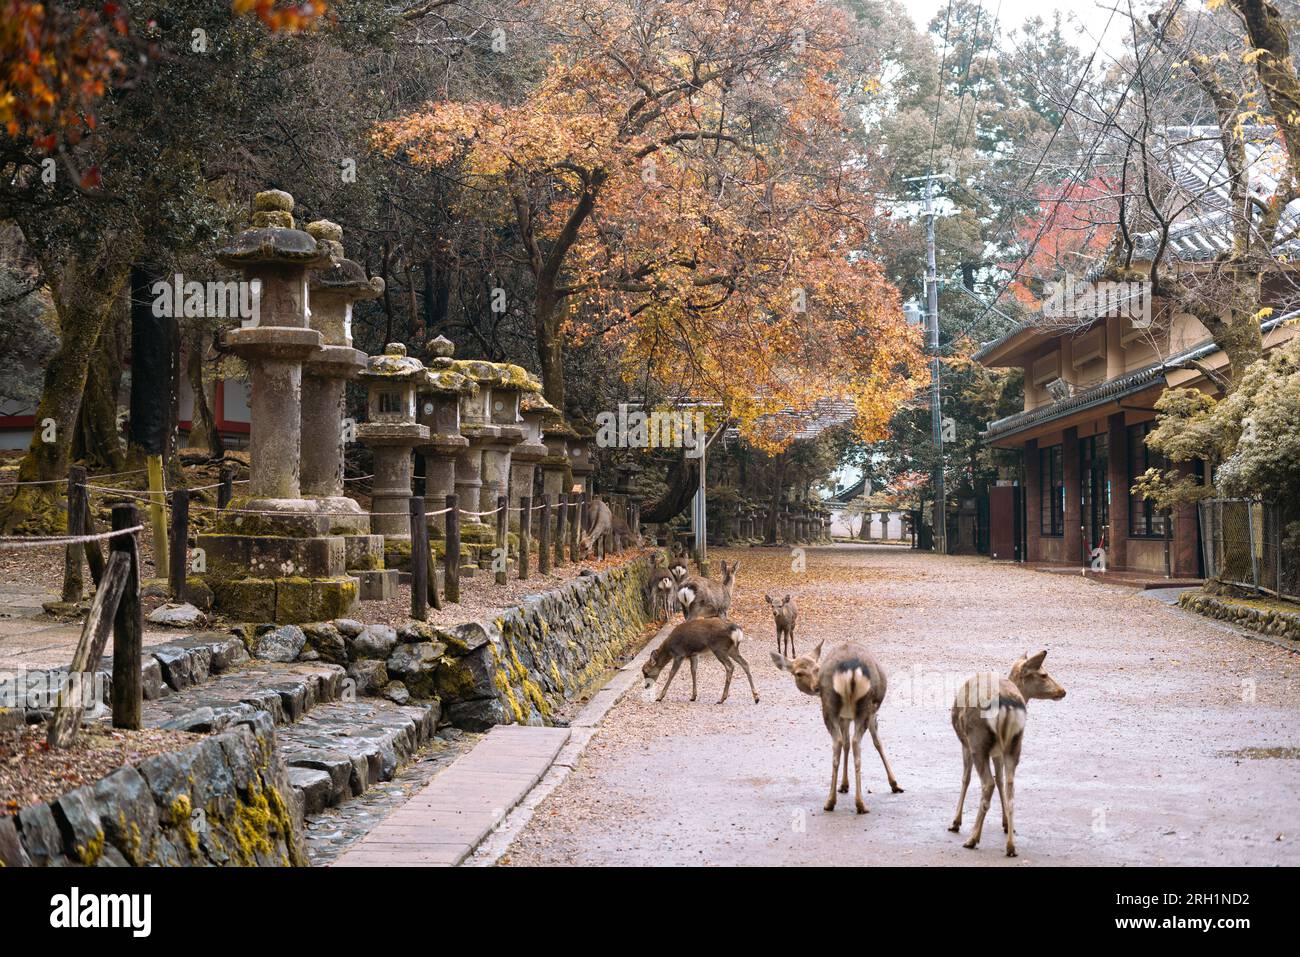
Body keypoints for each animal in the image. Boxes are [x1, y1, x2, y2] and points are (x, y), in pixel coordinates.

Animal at [771, 640, 903, 814]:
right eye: (798, 673)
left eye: (817, 668)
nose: (816, 687)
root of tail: (851, 670)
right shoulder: (860, 714)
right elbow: (876, 742)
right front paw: (894, 783)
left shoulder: (845, 717)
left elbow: (855, 743)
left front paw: (845, 785)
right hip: (861, 707)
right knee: (853, 743)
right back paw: (855, 803)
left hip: (833, 706)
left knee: (839, 743)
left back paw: (833, 801)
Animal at [949, 649, 1066, 857]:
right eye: (1044, 674)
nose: (1062, 690)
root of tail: (1007, 704)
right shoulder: (998, 752)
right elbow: (1000, 780)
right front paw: (1005, 824)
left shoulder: (966, 744)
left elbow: (966, 779)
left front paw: (955, 822)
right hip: (1014, 744)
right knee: (1011, 788)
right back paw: (1011, 846)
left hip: (978, 742)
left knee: (987, 783)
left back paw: (973, 838)